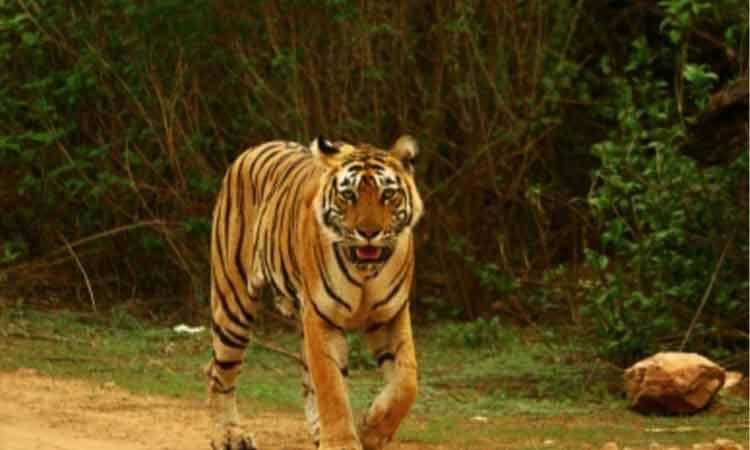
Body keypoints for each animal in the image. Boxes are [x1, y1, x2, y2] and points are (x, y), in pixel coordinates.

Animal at [205, 135, 424, 450]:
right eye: (349, 196)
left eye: (387, 195)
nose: (368, 232)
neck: (365, 273)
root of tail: (254, 148)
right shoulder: (322, 318)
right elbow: (331, 387)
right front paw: (343, 442)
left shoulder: (390, 316)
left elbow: (407, 382)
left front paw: (371, 430)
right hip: (233, 305)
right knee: (219, 372)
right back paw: (230, 435)